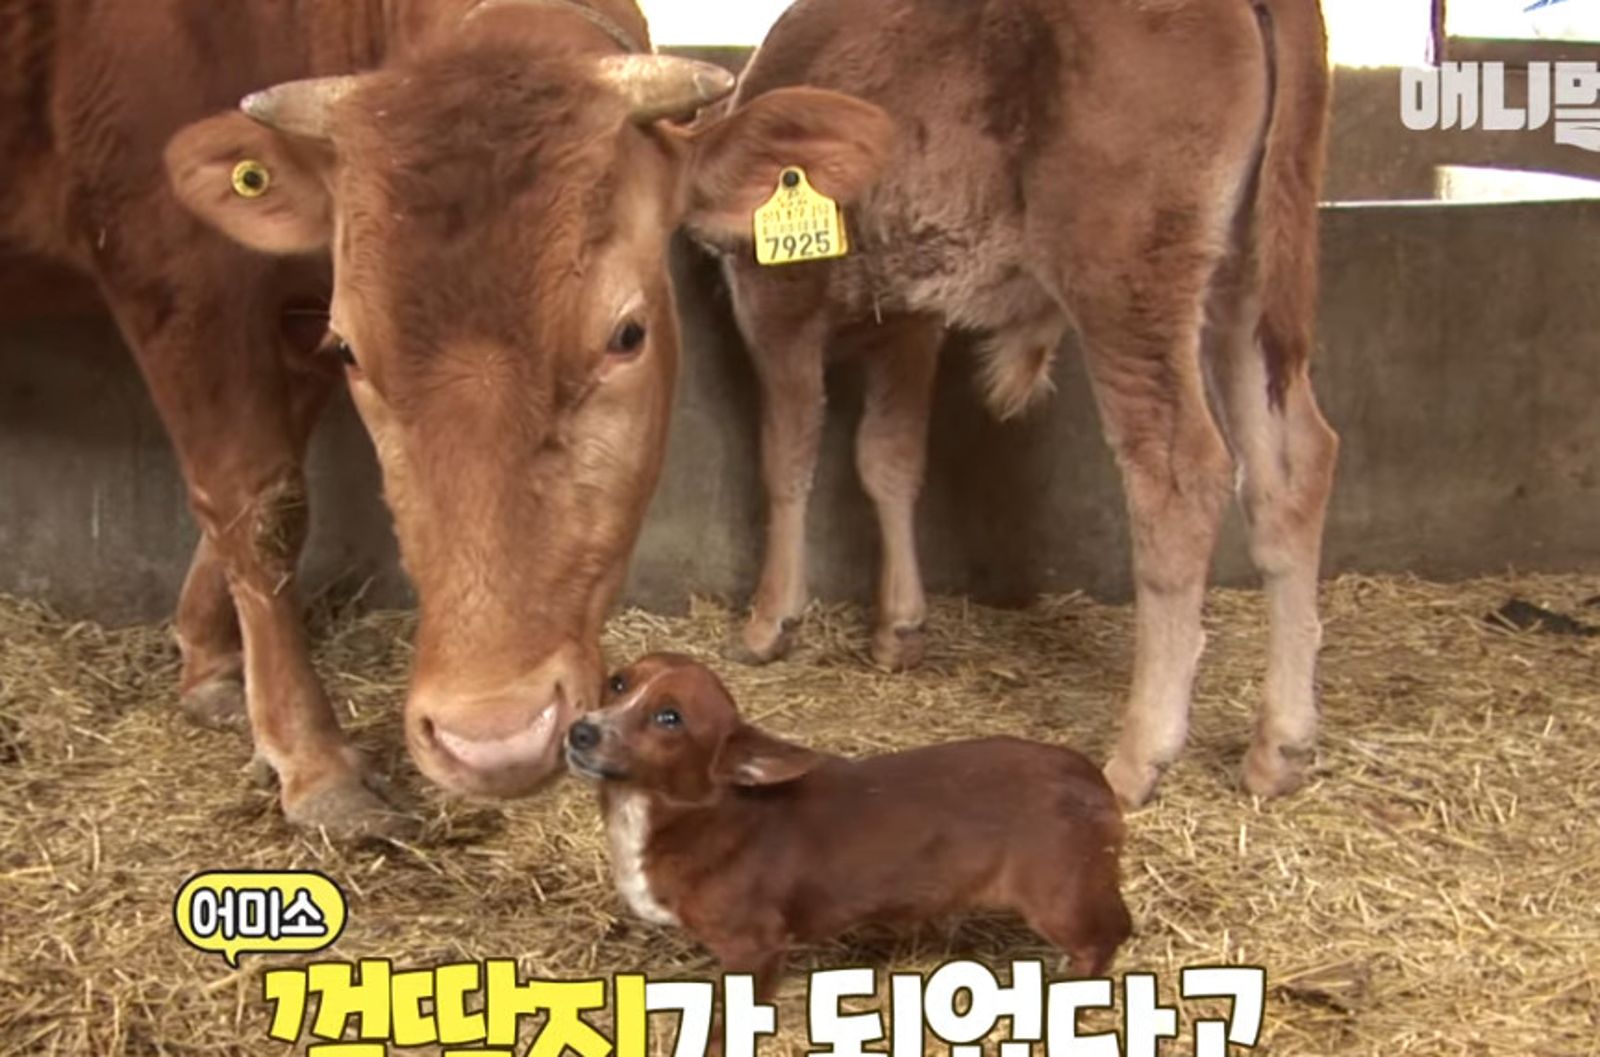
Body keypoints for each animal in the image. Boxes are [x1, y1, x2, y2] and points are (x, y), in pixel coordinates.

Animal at [0, 0, 894, 837]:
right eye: (354, 350)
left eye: (628, 335)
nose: (490, 736)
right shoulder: (178, 274)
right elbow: (255, 501)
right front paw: (310, 759)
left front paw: (213, 663)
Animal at [714, 0, 1340, 808]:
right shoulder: (912, 317)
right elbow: (889, 459)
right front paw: (898, 628)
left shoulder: (776, 298)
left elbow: (787, 456)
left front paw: (769, 619)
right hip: (1247, 282)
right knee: (1292, 466)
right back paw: (1279, 745)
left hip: (1125, 278)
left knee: (1181, 475)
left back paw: (1139, 754)